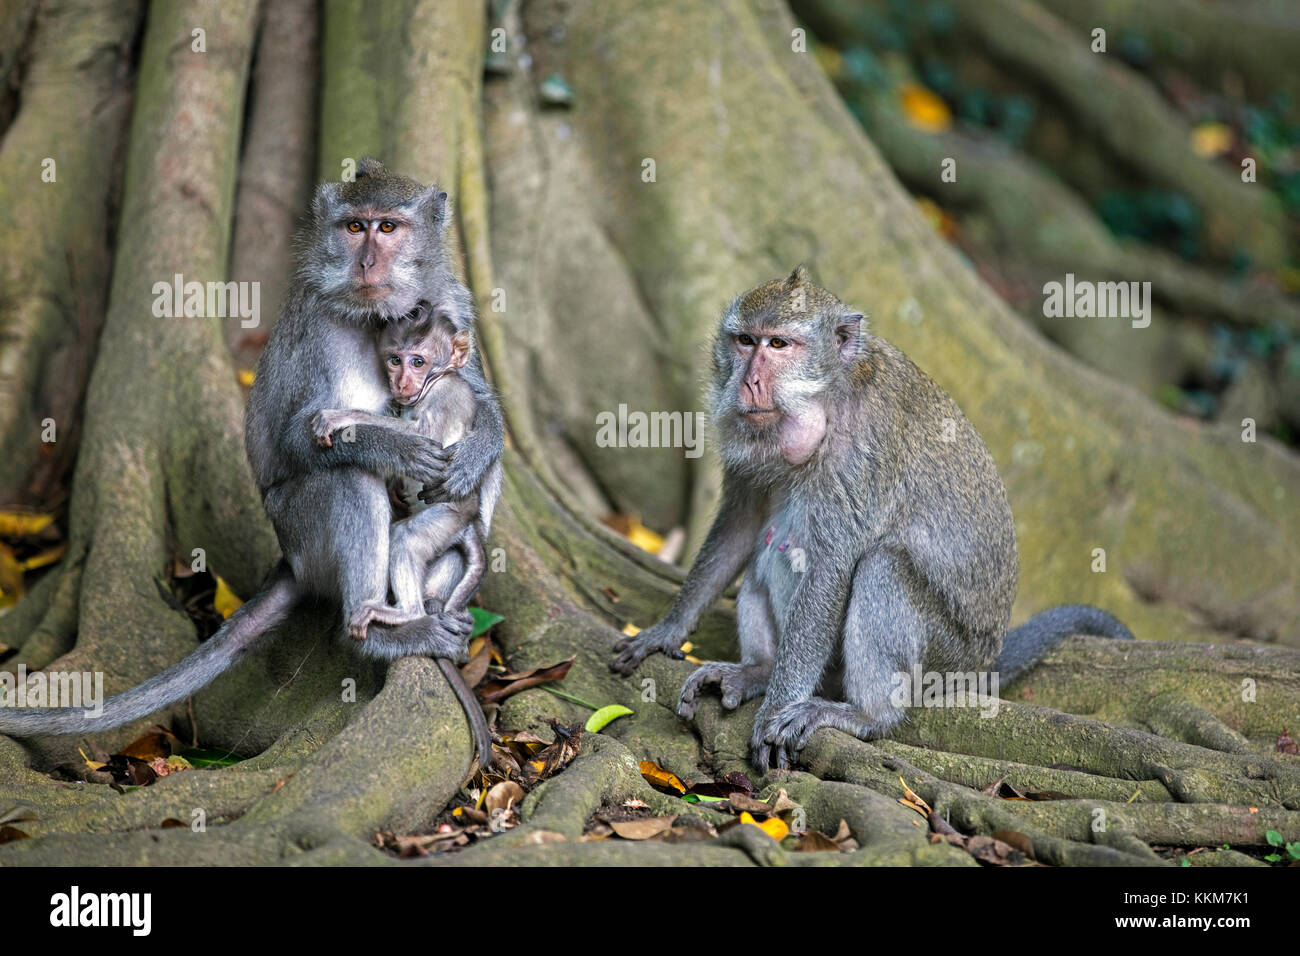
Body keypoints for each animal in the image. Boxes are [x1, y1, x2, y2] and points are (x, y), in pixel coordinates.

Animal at [0, 160, 505, 746]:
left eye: (388, 227)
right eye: (355, 227)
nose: (368, 261)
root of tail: (289, 559)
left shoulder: (454, 302)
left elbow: (477, 401)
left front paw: (476, 449)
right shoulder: (314, 327)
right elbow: (296, 438)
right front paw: (395, 447)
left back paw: (443, 600)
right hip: (300, 530)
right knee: (348, 481)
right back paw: (378, 633)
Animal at [611, 266, 1133, 773]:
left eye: (779, 345)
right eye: (745, 340)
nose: (749, 383)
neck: (827, 396)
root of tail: (983, 661)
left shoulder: (858, 454)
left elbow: (831, 568)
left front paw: (777, 708)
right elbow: (740, 526)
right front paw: (667, 630)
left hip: (941, 660)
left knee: (883, 566)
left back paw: (866, 714)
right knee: (772, 544)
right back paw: (759, 669)